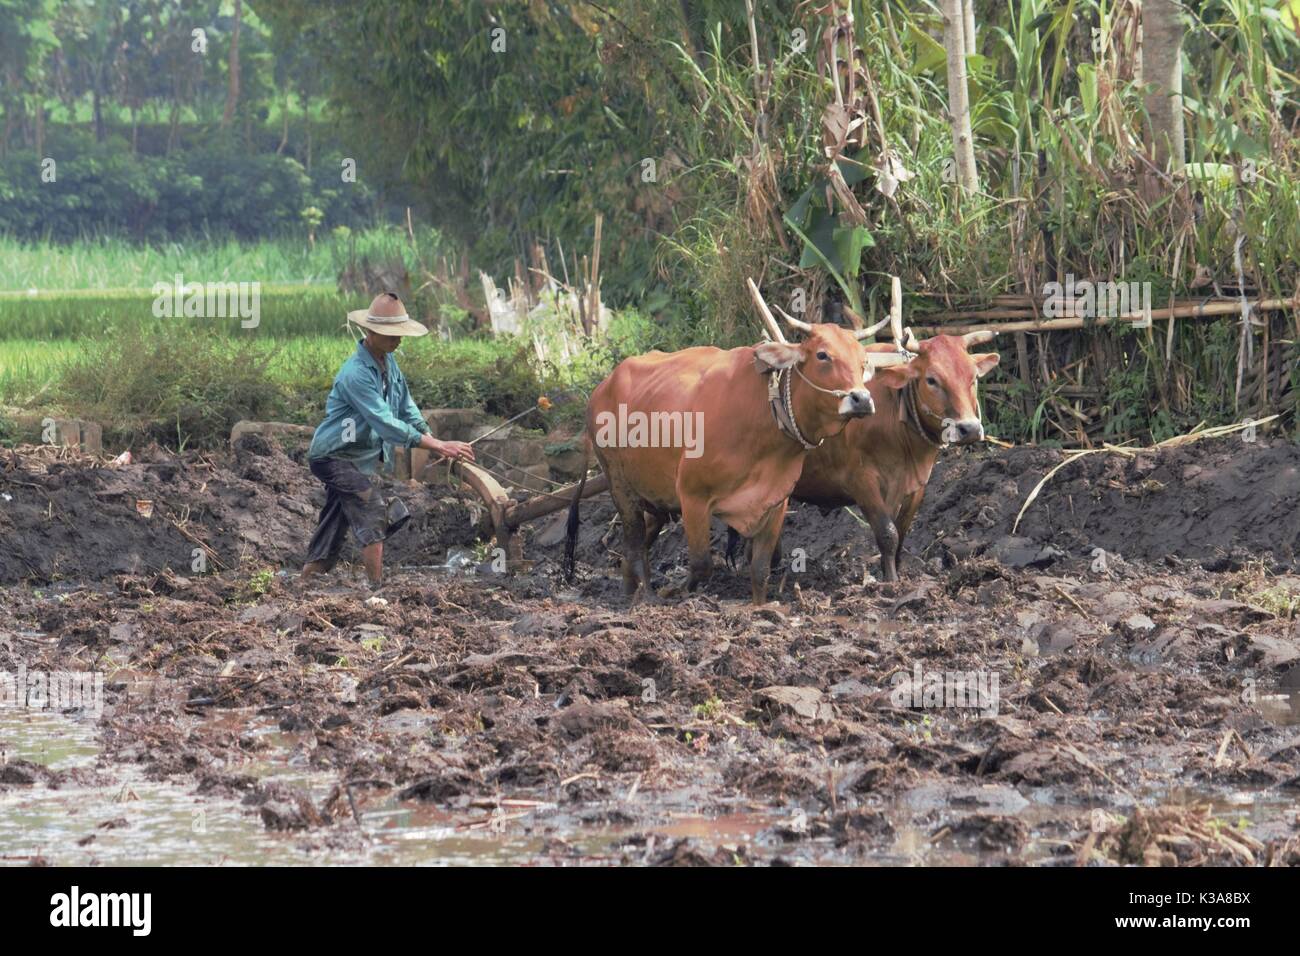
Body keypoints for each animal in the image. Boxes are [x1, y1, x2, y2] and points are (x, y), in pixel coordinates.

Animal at [563, 294, 907, 604]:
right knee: (634, 542)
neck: (764, 423)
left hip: (654, 497)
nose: (861, 399)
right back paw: (644, 596)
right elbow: (701, 565)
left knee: (635, 544)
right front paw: (677, 592)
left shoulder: (775, 502)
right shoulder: (692, 496)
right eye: (823, 355)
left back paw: (628, 591)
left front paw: (758, 607)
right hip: (620, 485)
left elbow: (760, 570)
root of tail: (602, 387)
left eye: (863, 360)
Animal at [727, 329, 1000, 583]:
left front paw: (897, 574)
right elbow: (888, 534)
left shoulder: (916, 486)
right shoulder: (861, 480)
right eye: (932, 380)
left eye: (974, 377)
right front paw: (891, 583)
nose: (970, 429)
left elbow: (902, 531)